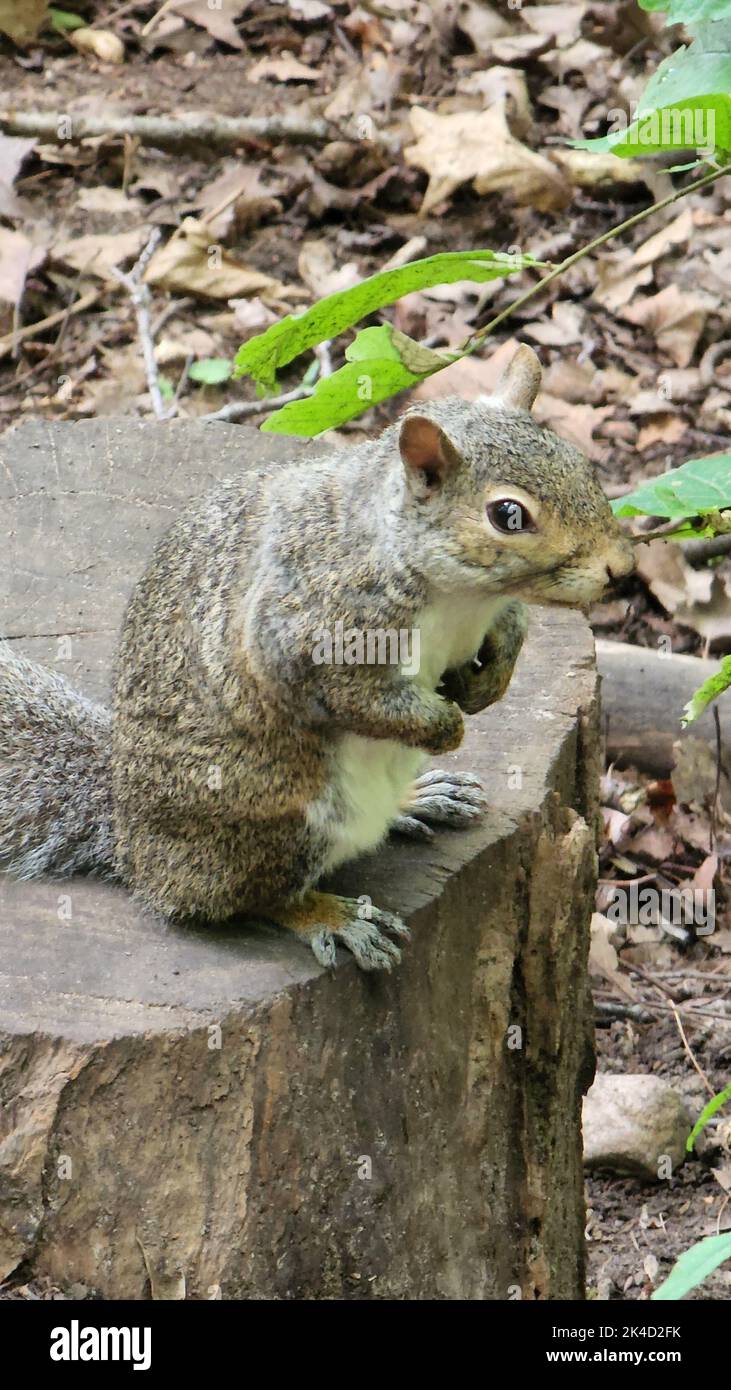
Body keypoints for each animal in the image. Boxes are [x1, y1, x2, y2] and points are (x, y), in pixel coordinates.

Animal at [0, 345, 634, 972]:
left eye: (582, 466)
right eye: (508, 515)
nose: (622, 568)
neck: (461, 597)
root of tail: (130, 841)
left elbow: (511, 628)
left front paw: (490, 681)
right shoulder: (309, 632)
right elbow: (358, 699)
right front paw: (446, 725)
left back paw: (419, 798)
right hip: (275, 821)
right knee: (254, 899)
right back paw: (335, 916)